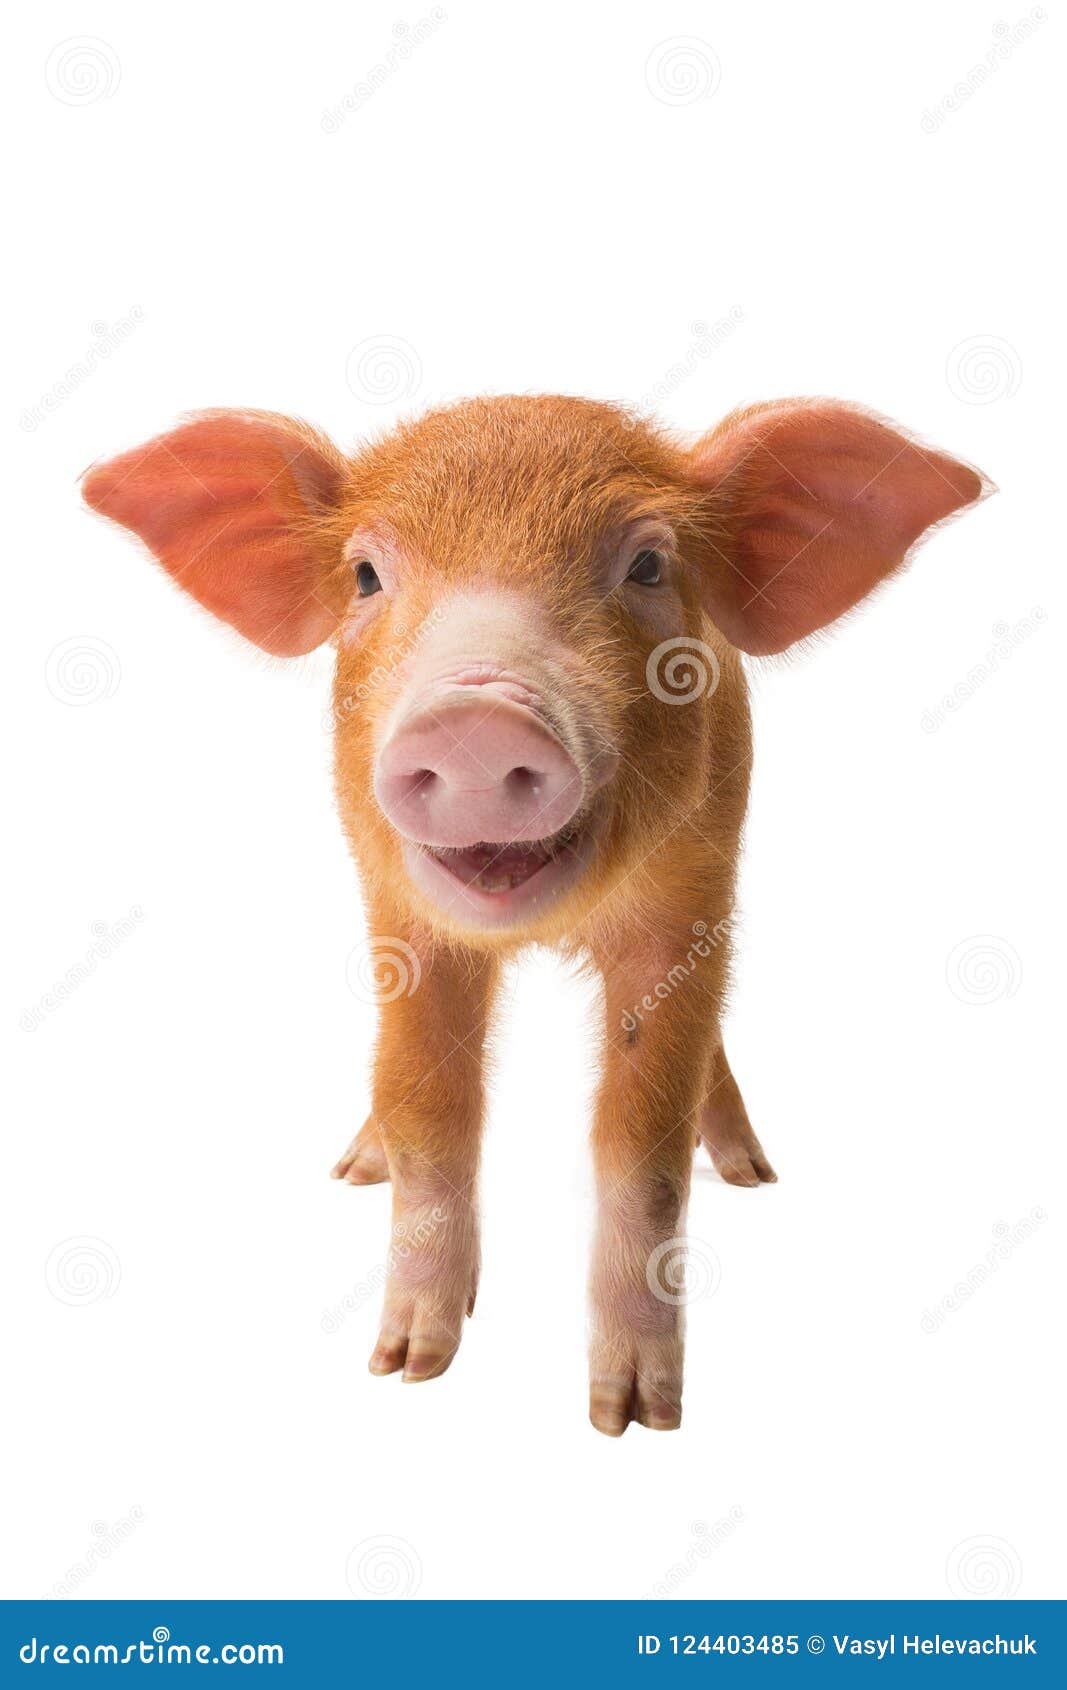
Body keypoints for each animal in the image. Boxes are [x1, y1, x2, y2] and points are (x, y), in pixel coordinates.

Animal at [82, 394, 986, 1434]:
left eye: (648, 565)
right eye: (365, 575)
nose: (473, 716)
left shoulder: (688, 907)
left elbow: (646, 1142)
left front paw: (631, 1416)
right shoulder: (399, 915)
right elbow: (427, 1105)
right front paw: (405, 1366)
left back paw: (749, 1170)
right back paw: (356, 1165)